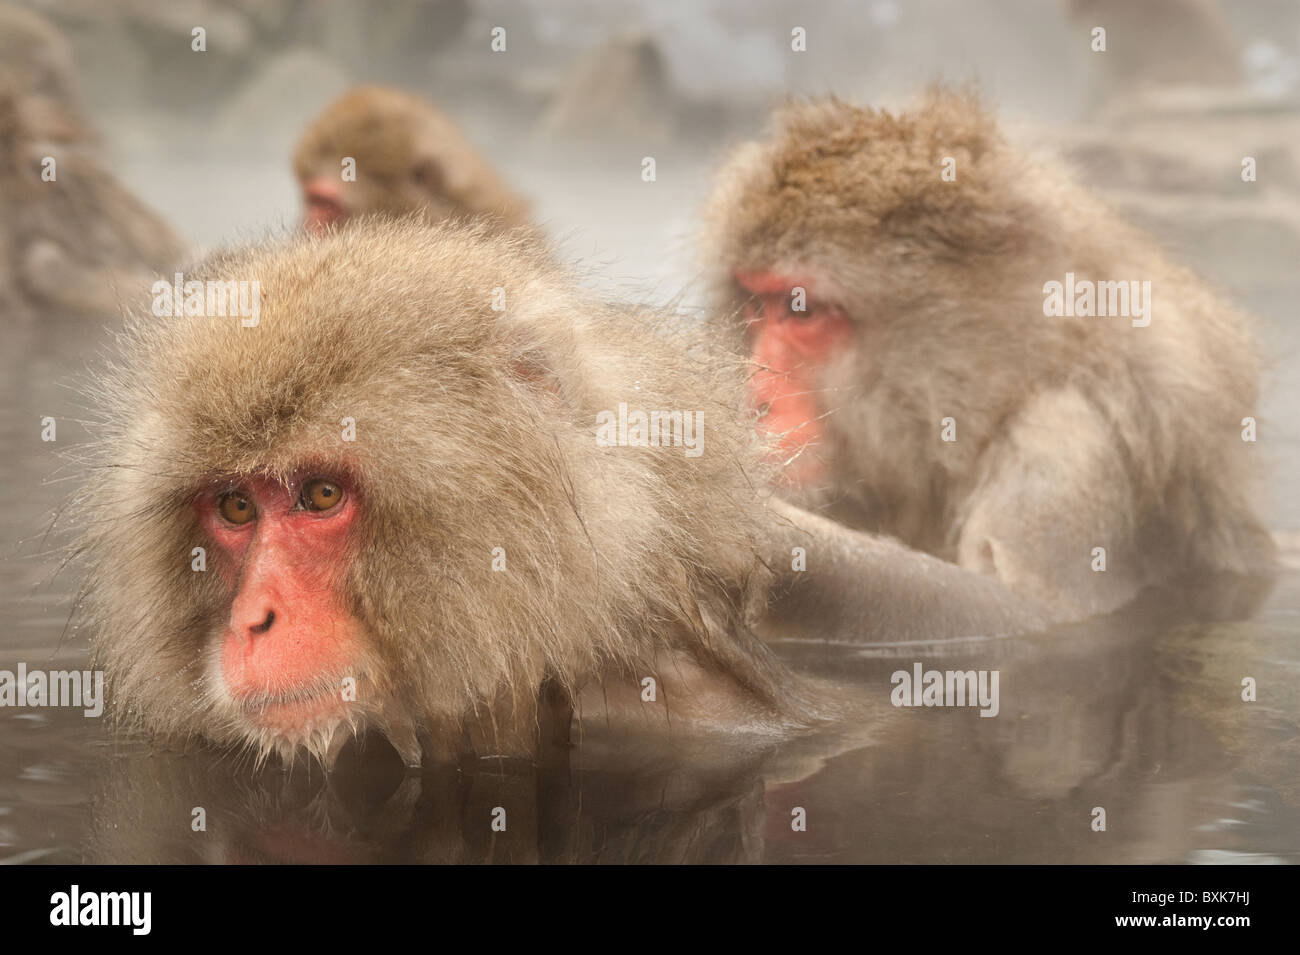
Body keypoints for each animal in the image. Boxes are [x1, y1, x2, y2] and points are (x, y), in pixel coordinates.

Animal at [701, 90, 1275, 622]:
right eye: (756, 304)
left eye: (802, 312)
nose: (754, 399)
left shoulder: (1068, 440)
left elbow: (1035, 614)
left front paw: (759, 525)